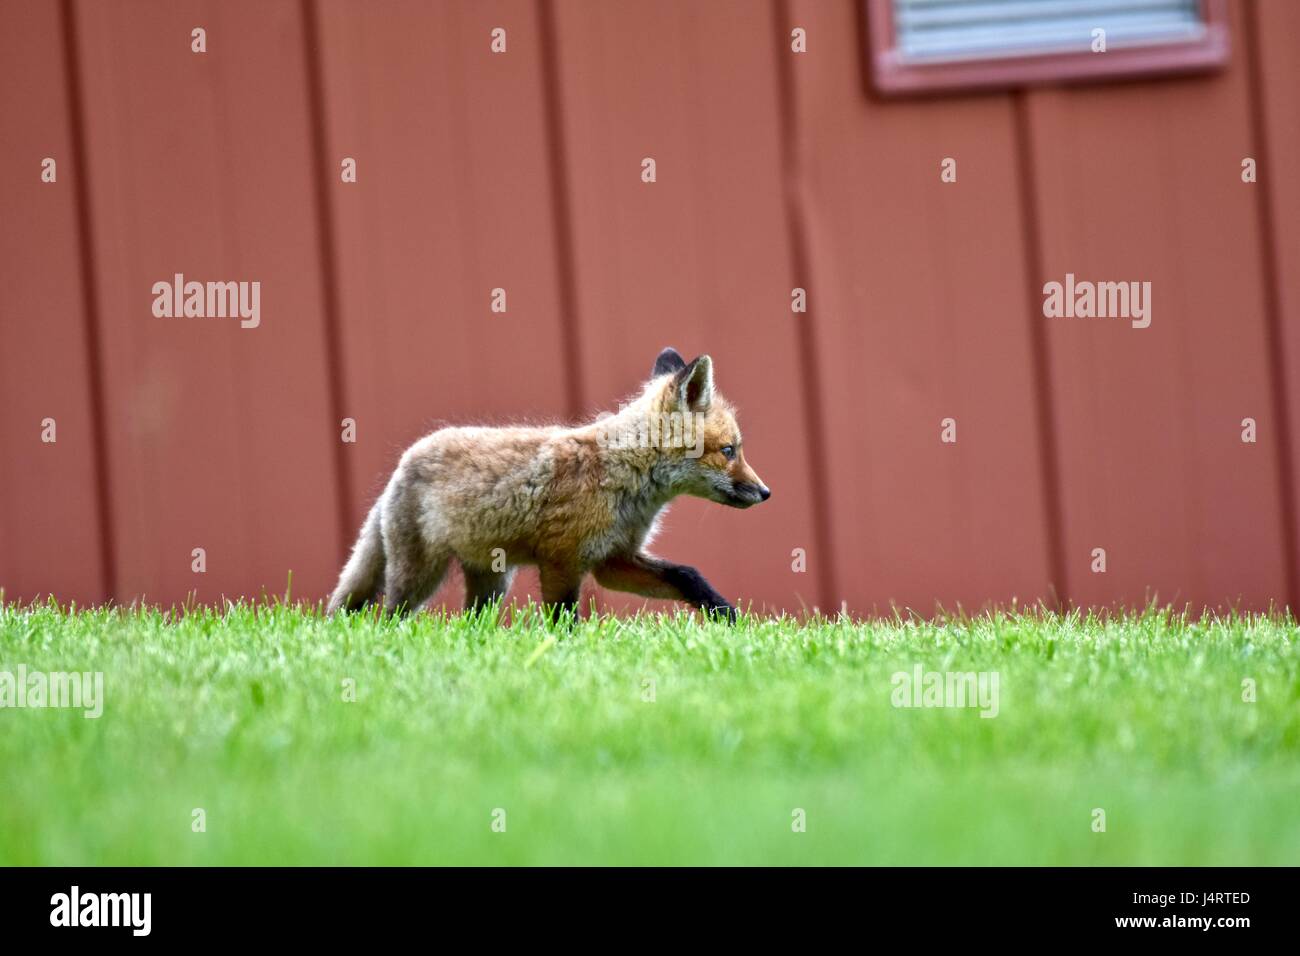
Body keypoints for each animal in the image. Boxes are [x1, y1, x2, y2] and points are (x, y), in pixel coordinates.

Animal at [326, 347, 770, 621]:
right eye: (729, 451)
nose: (766, 493)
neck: (623, 480)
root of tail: (403, 463)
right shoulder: (562, 560)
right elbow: (564, 621)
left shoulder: (614, 559)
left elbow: (687, 576)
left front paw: (731, 619)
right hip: (417, 577)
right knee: (390, 617)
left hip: (492, 580)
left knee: (471, 622)